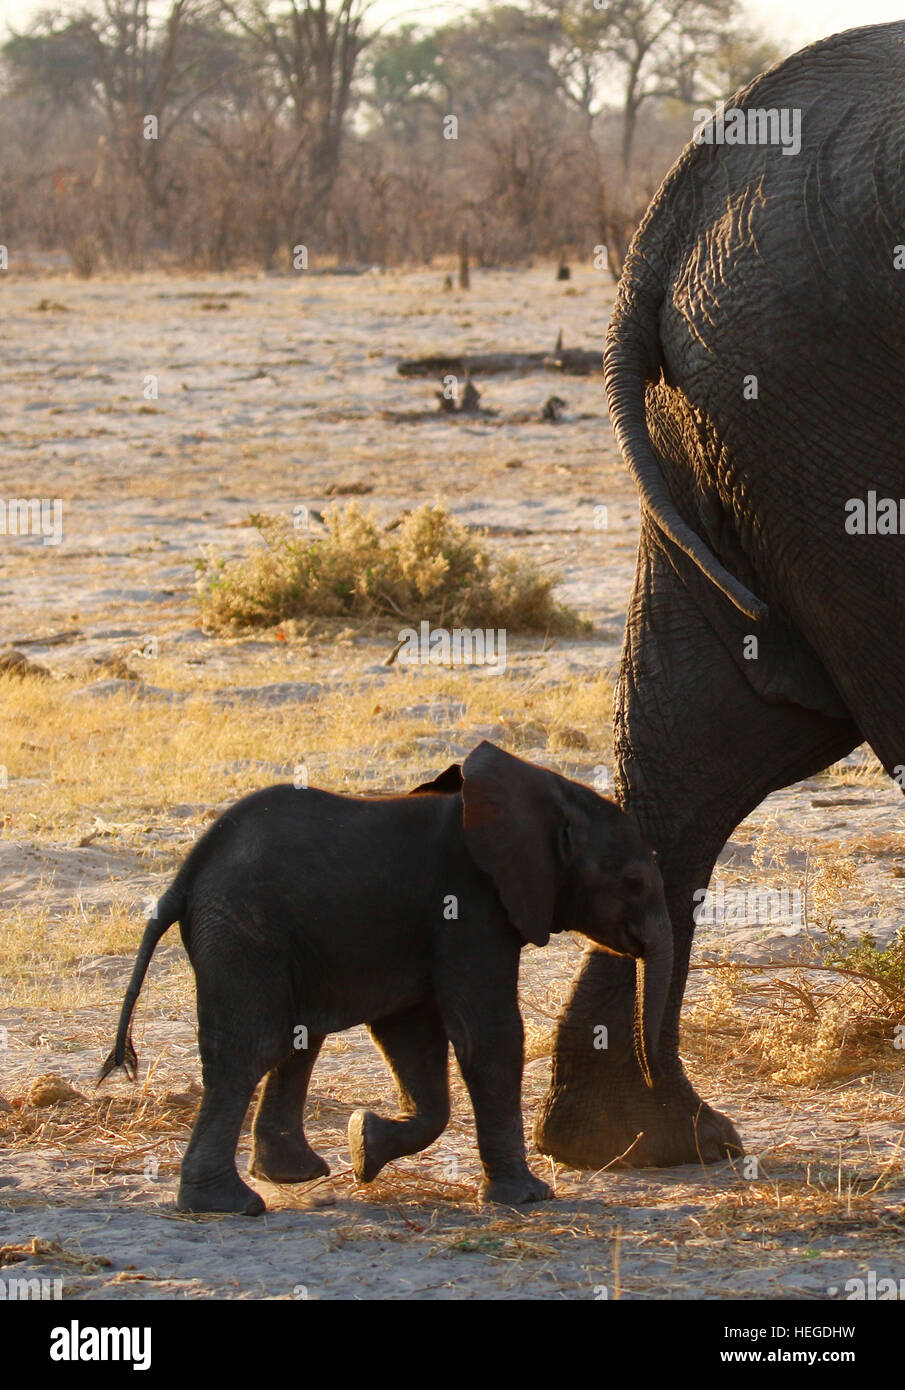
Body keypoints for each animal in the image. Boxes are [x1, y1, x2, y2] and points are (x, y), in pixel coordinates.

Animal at [99, 741, 671, 1214]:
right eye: (633, 882)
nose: (652, 1083)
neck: (548, 790)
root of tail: (185, 875)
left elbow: (411, 1036)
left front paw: (362, 1144)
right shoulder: (470, 903)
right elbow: (487, 1035)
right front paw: (529, 1198)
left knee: (295, 1041)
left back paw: (292, 1177)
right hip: (244, 932)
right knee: (251, 1049)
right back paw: (227, 1205)